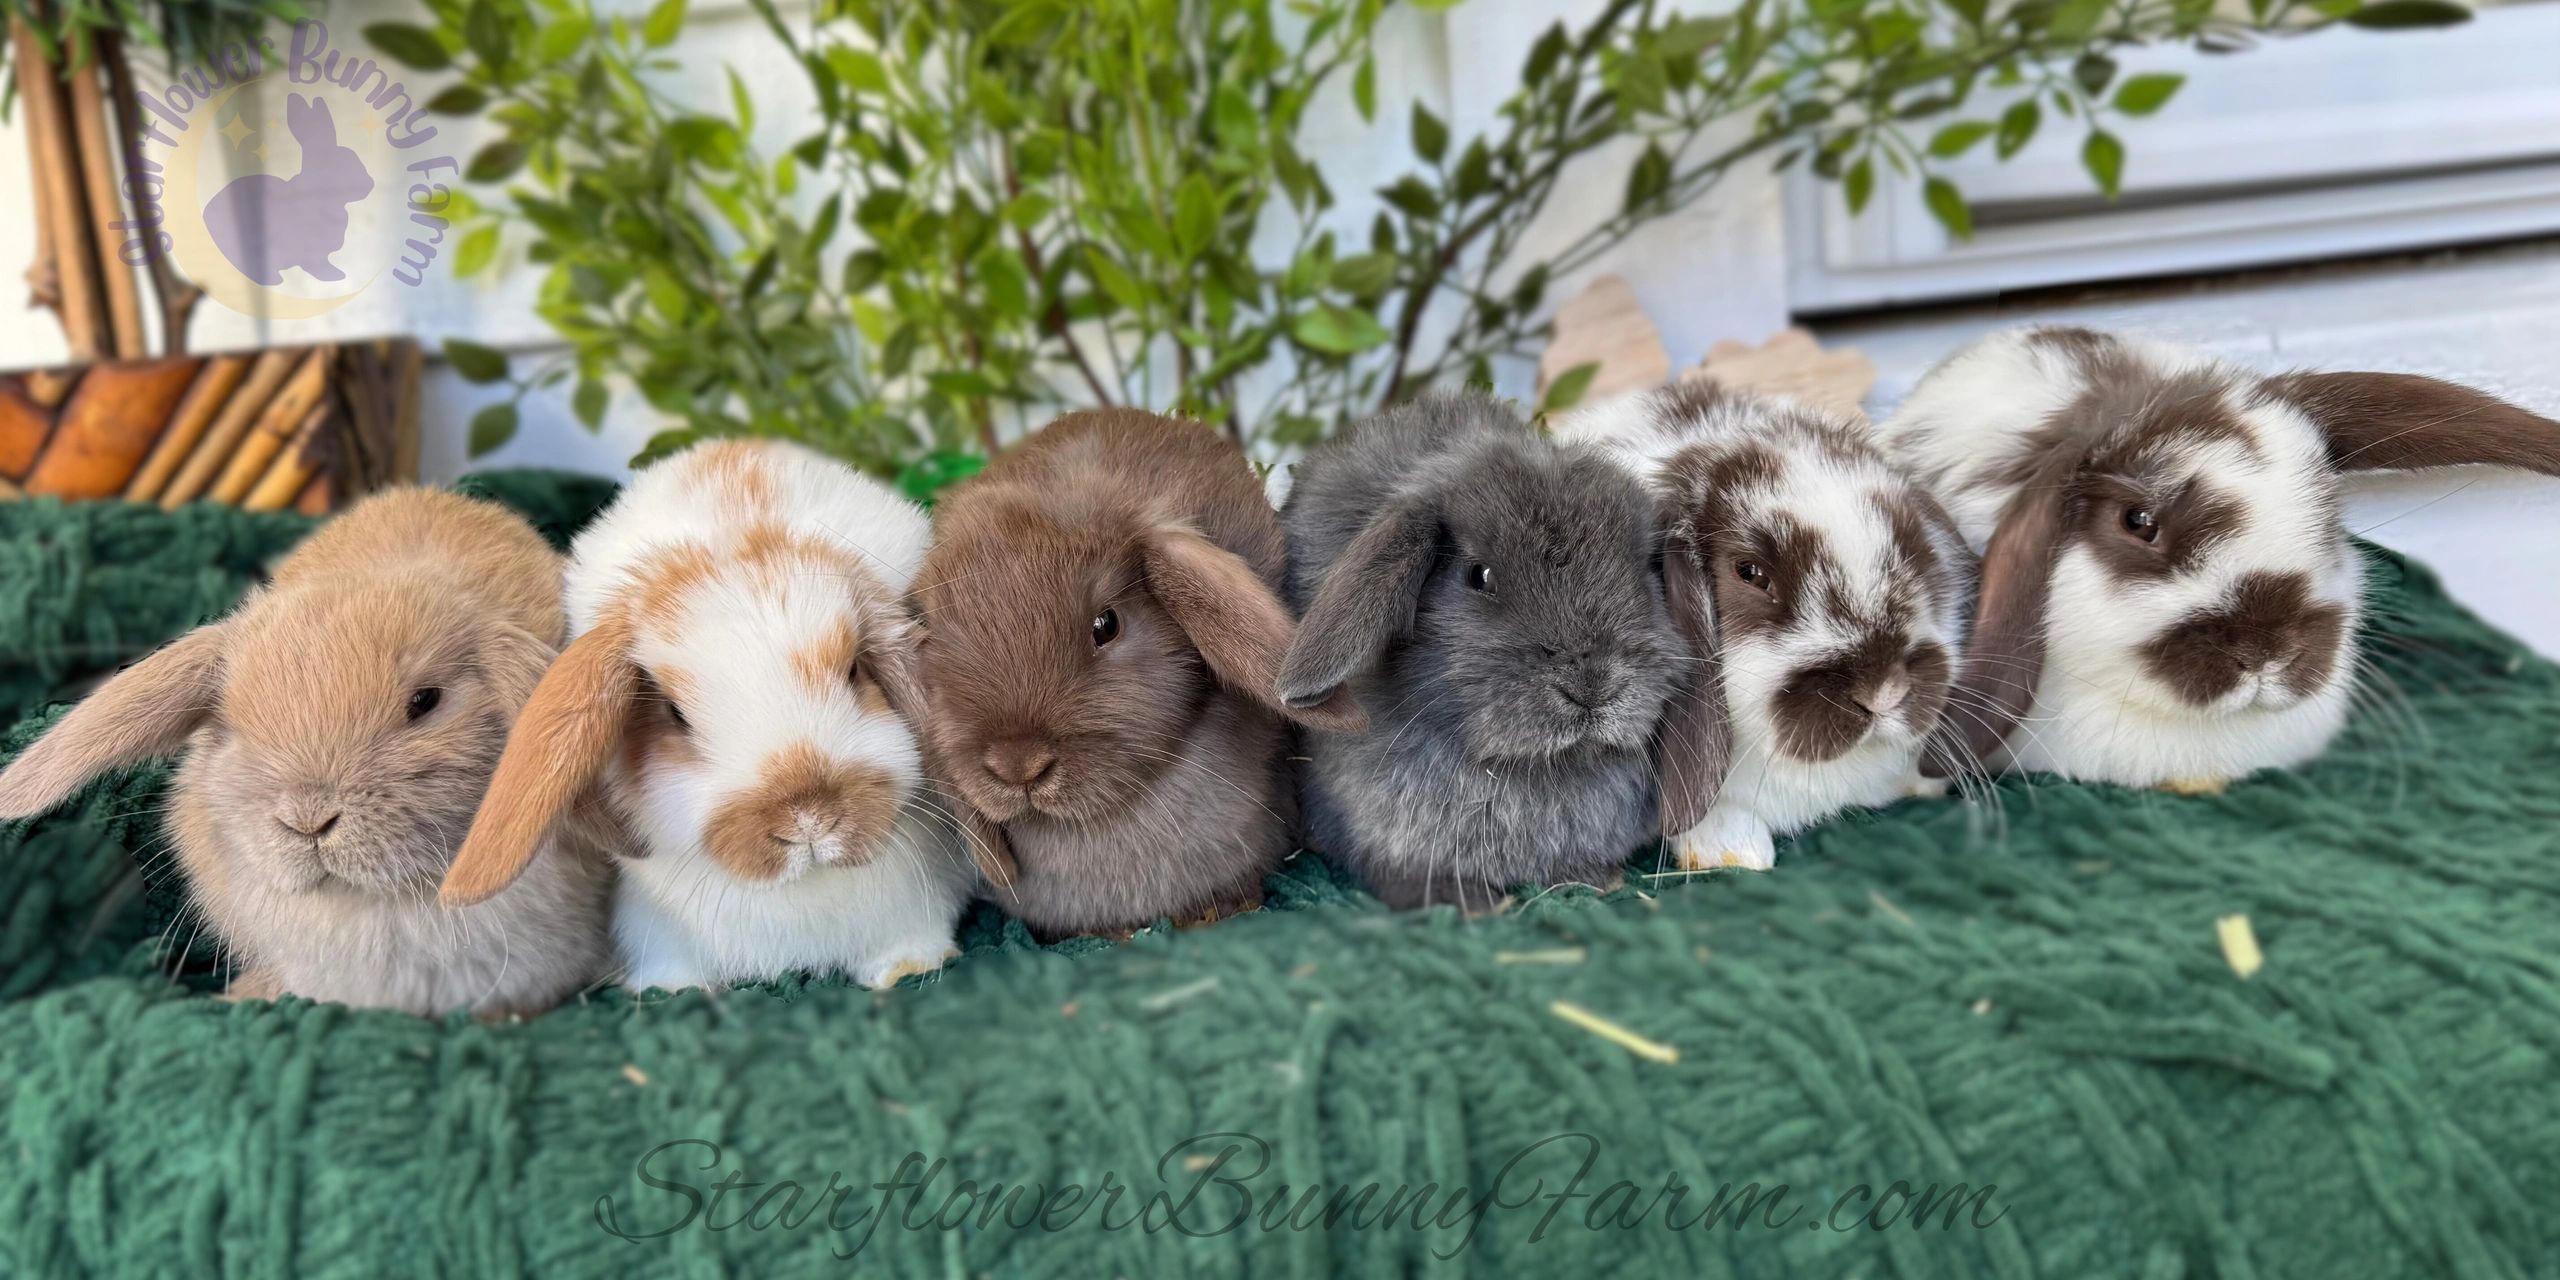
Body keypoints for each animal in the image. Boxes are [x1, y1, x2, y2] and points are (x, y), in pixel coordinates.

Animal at [203, 94, 375, 287]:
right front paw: (333, 276)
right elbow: (315, 267)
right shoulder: (310, 251)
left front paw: (337, 274)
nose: (370, 184)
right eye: (340, 165)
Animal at [1275, 391, 1693, 912]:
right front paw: (1475, 904)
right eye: (1480, 576)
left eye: (1643, 570)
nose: (1593, 683)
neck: (1528, 771)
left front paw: (1595, 880)